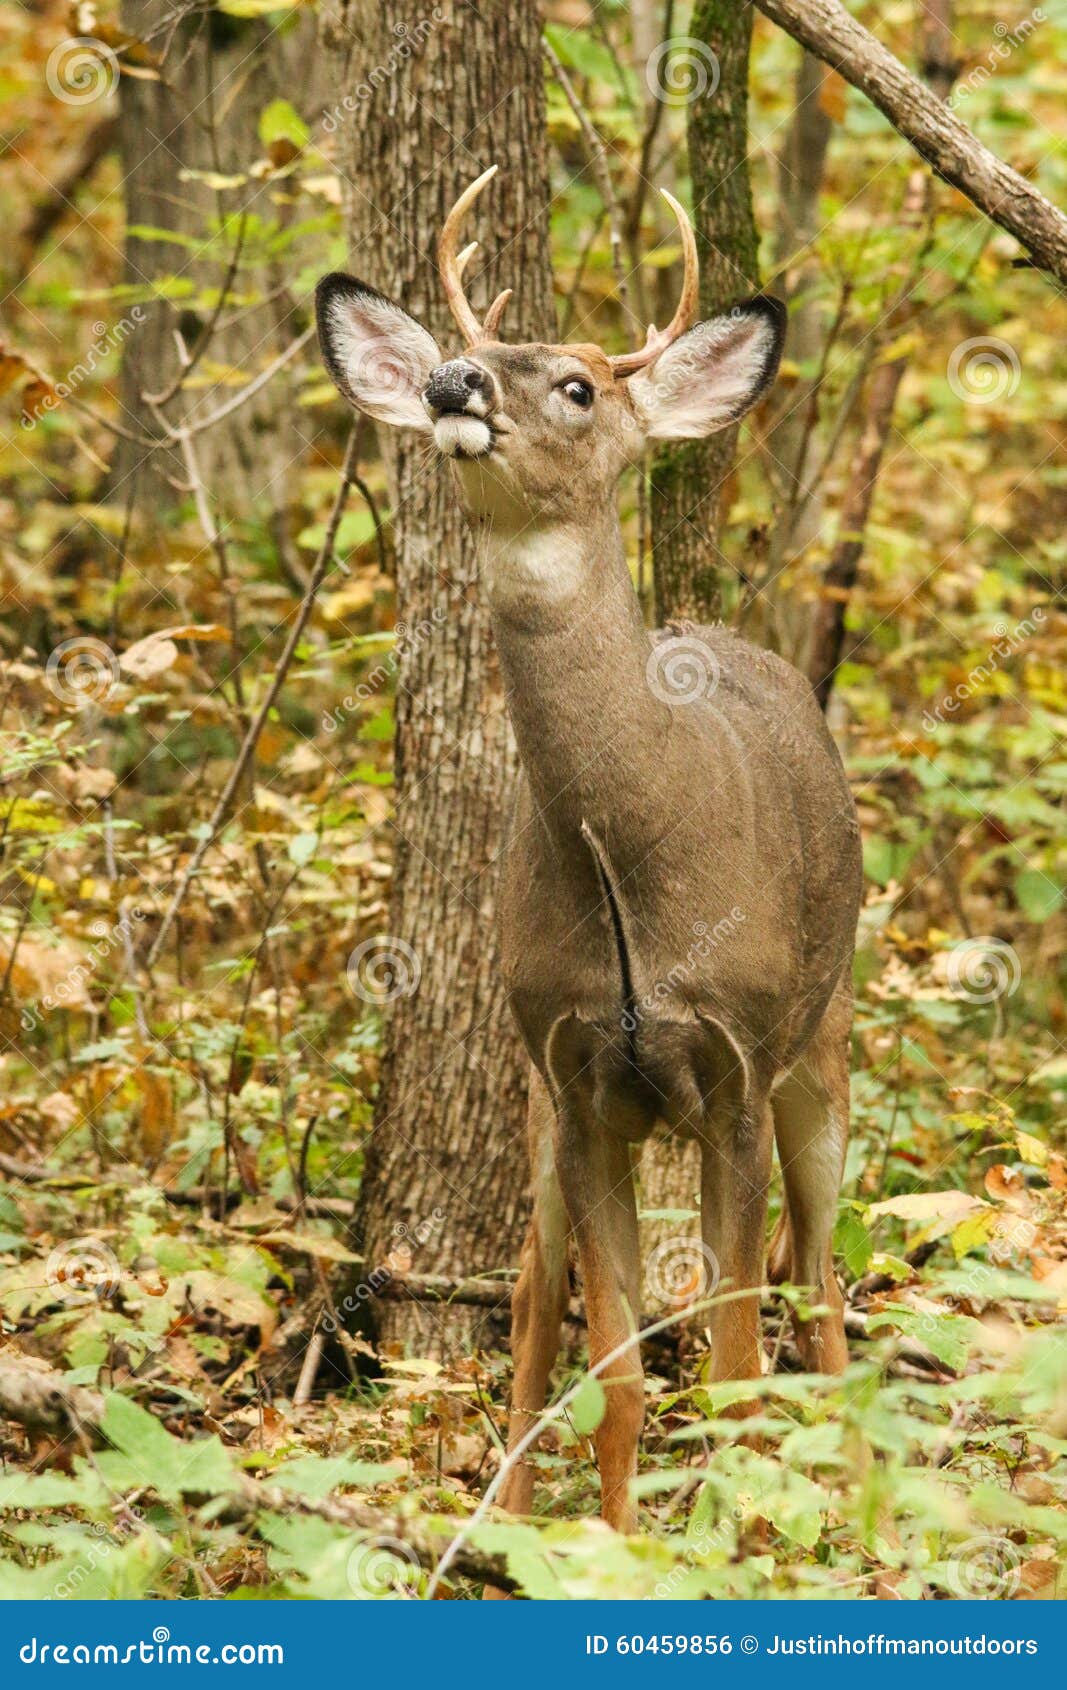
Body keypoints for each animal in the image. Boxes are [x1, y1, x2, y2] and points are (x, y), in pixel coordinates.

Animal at [315, 167, 862, 1538]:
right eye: (450, 359)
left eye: (574, 384)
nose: (453, 384)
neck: (632, 873)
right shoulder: (574, 1077)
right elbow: (614, 1365)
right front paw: (613, 1542)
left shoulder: (735, 1064)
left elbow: (731, 1353)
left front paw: (736, 1539)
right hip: (528, 1089)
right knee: (527, 1294)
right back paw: (502, 1506)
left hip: (824, 1038)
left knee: (821, 1277)